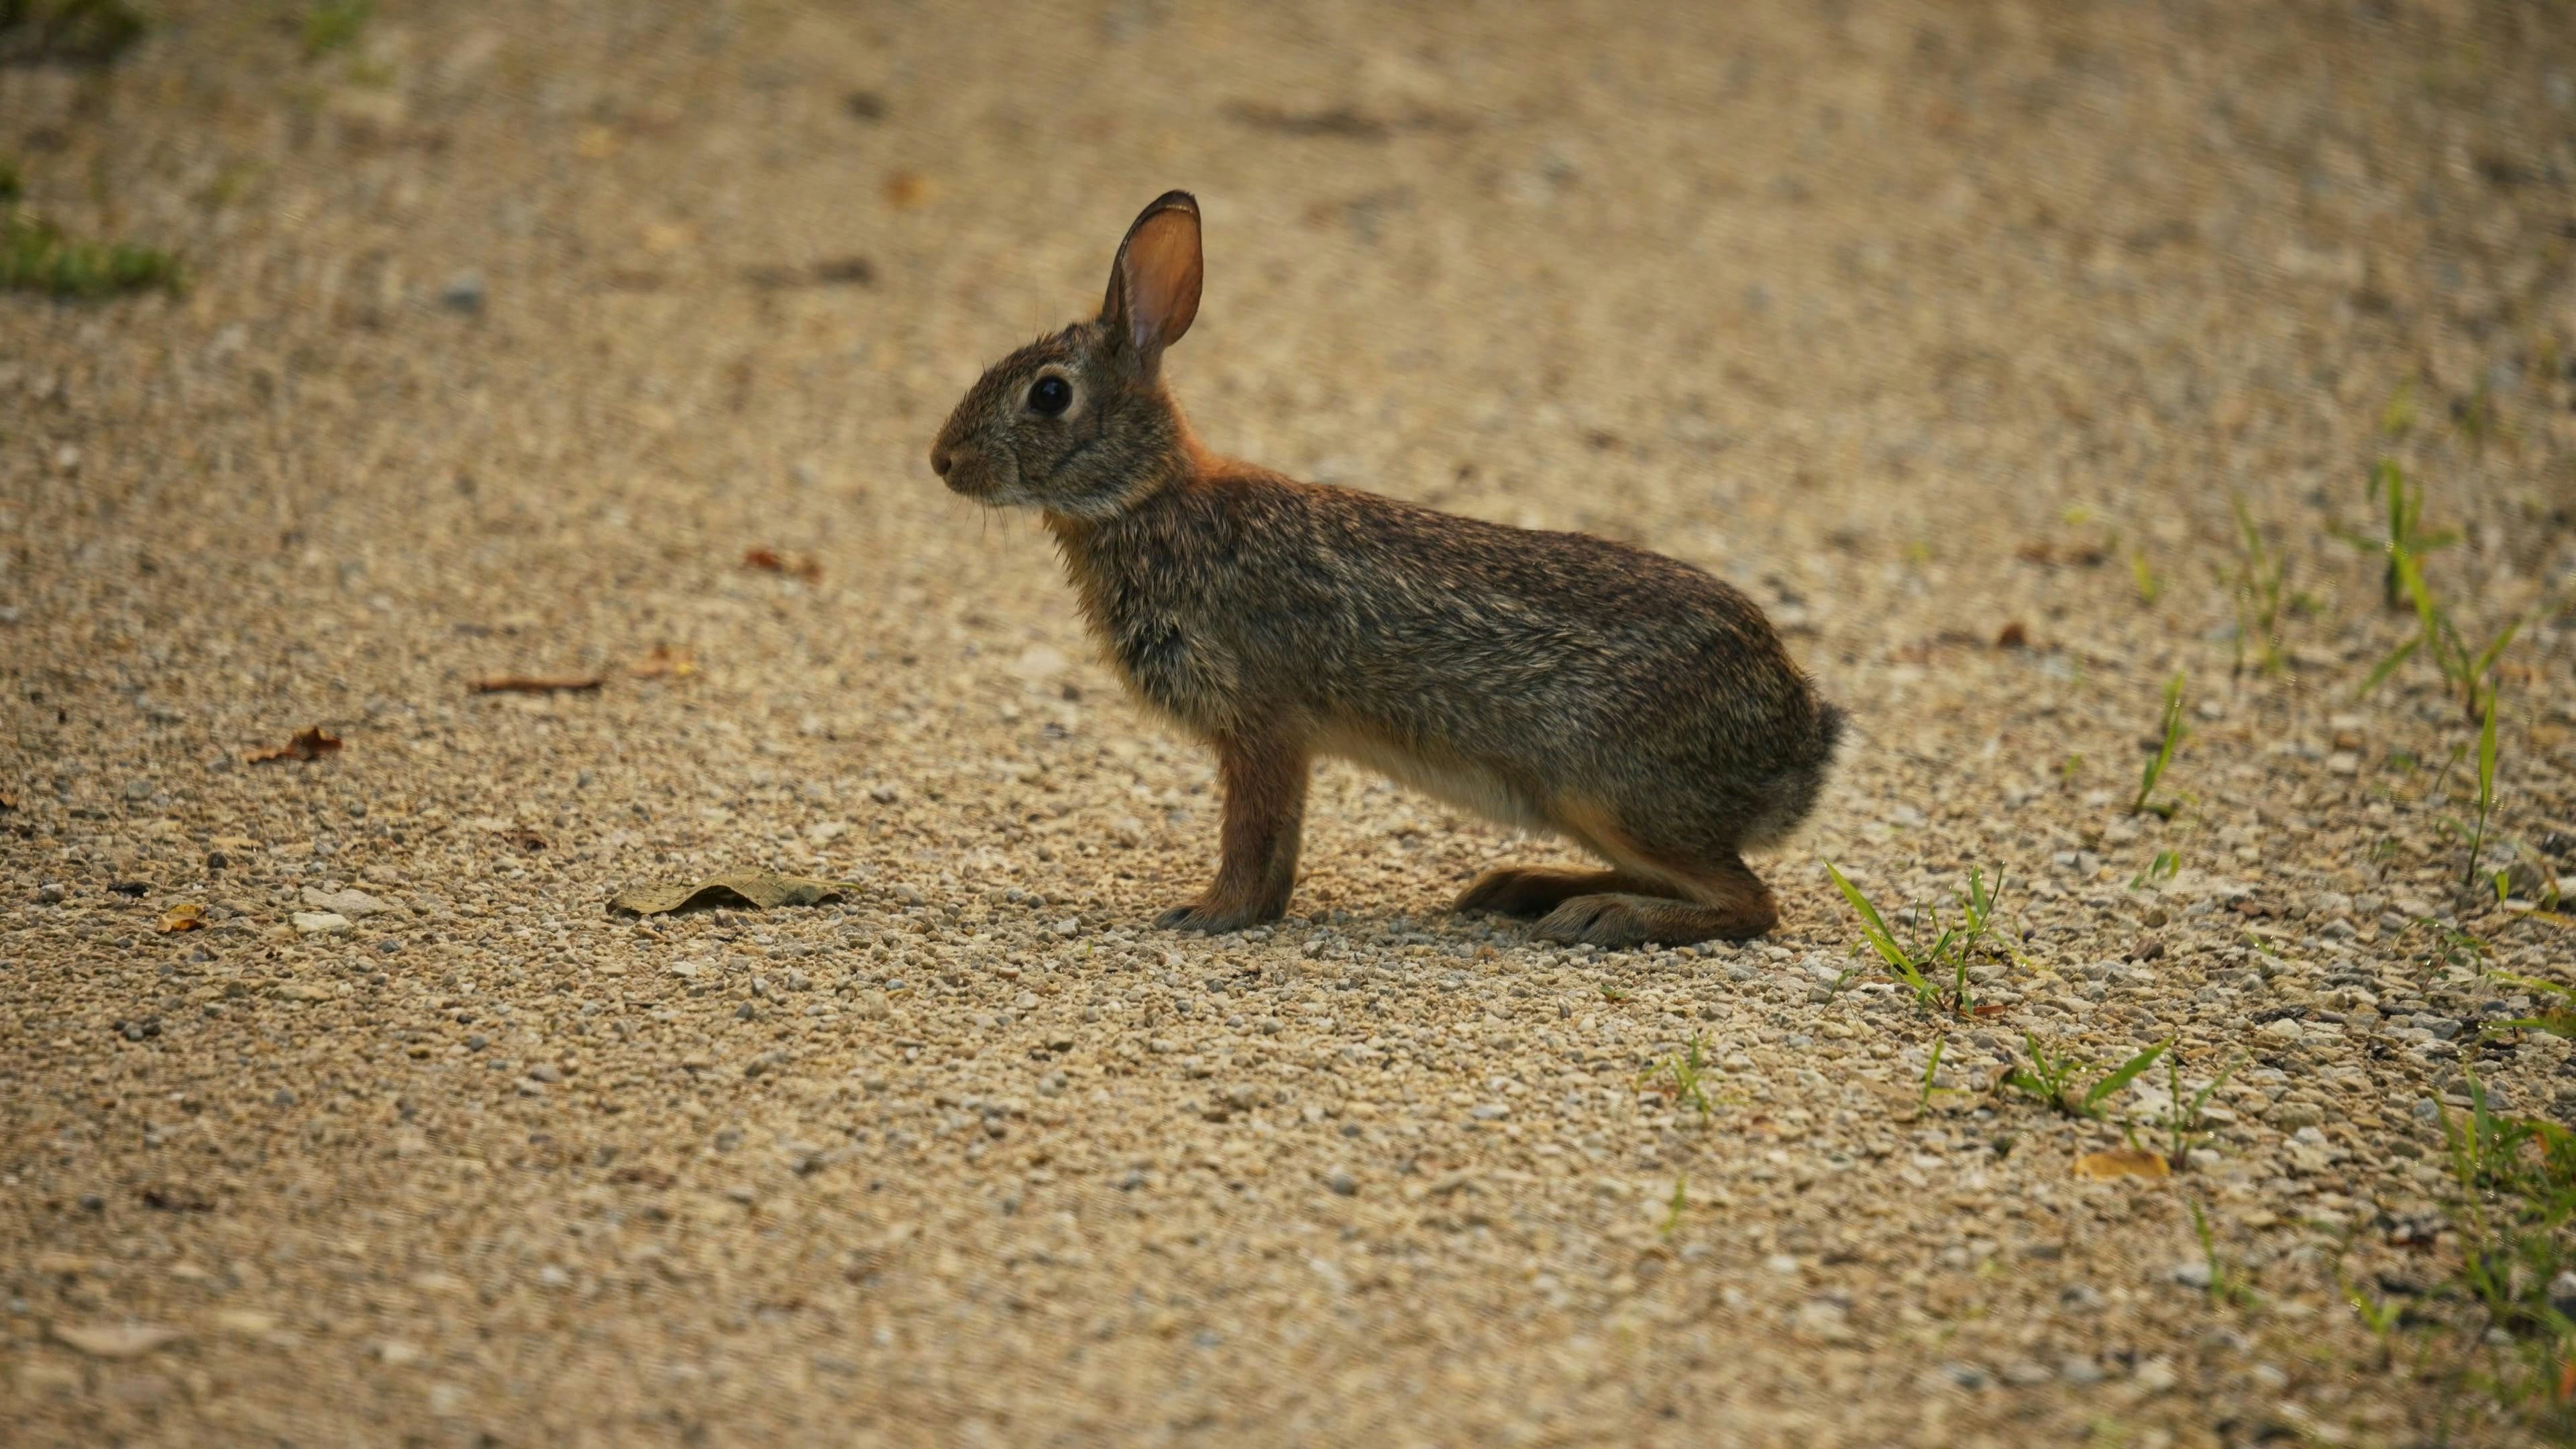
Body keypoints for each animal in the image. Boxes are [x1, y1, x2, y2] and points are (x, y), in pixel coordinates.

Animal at [930, 191, 1843, 947]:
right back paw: (1527, 889)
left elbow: (1253, 834)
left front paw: (1209, 913)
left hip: (1608, 789)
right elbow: (1277, 843)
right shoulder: (1280, 738)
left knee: (1750, 902)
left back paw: (1601, 916)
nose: (943, 462)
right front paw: (1246, 910)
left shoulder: (1261, 719)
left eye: (1050, 395)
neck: (1150, 498)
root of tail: (1799, 732)